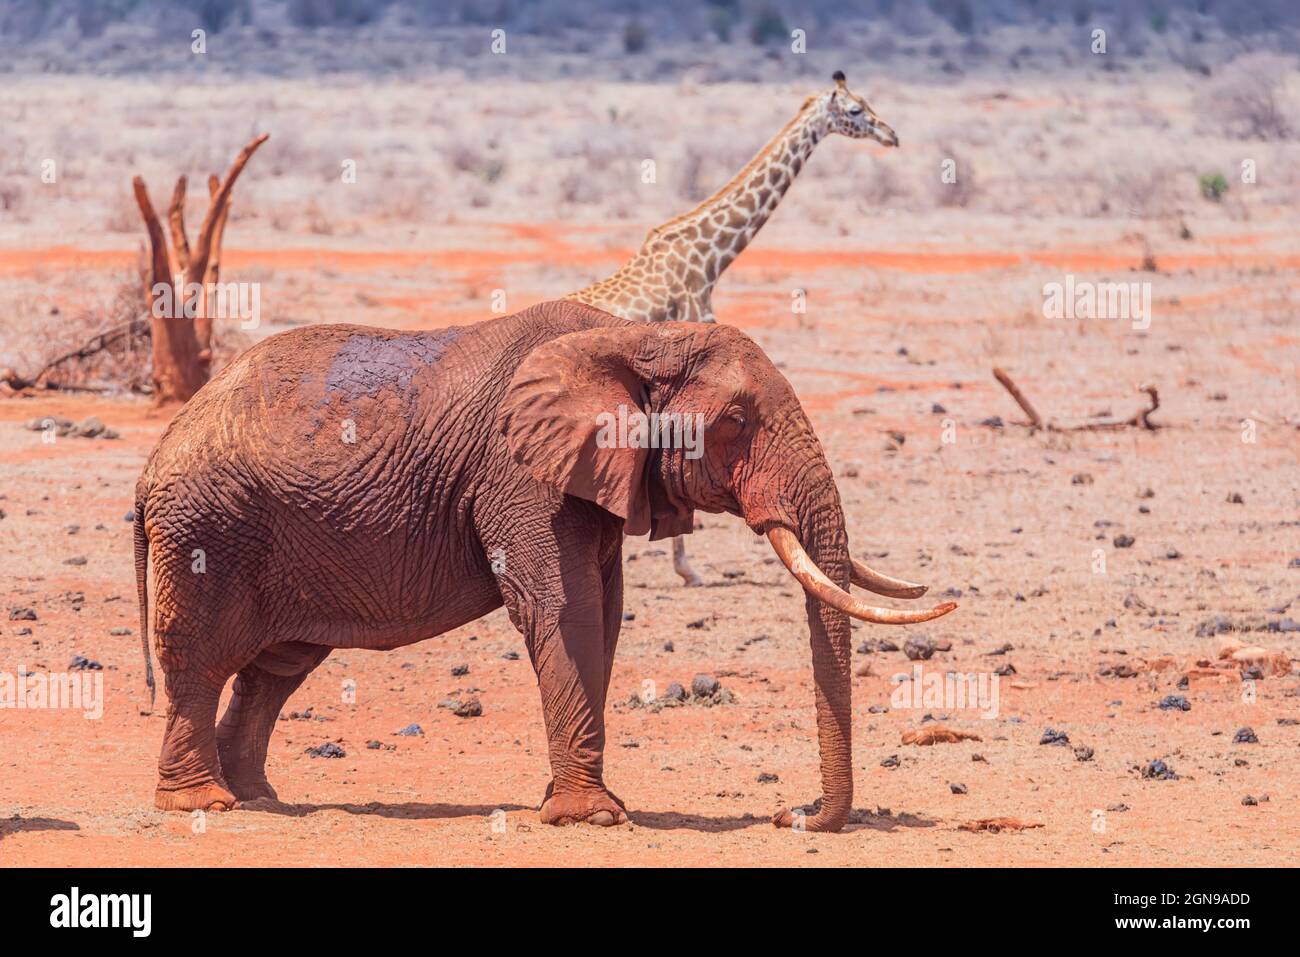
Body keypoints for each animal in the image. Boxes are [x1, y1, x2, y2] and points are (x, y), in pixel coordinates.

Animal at [134, 300, 956, 831]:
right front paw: (591, 818)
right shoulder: (521, 473)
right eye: (735, 422)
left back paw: (262, 799)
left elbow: (604, 615)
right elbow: (565, 609)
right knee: (201, 659)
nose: (793, 813)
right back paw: (204, 804)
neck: (636, 338)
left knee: (276, 667)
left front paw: (570, 803)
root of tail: (155, 458)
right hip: (208, 526)